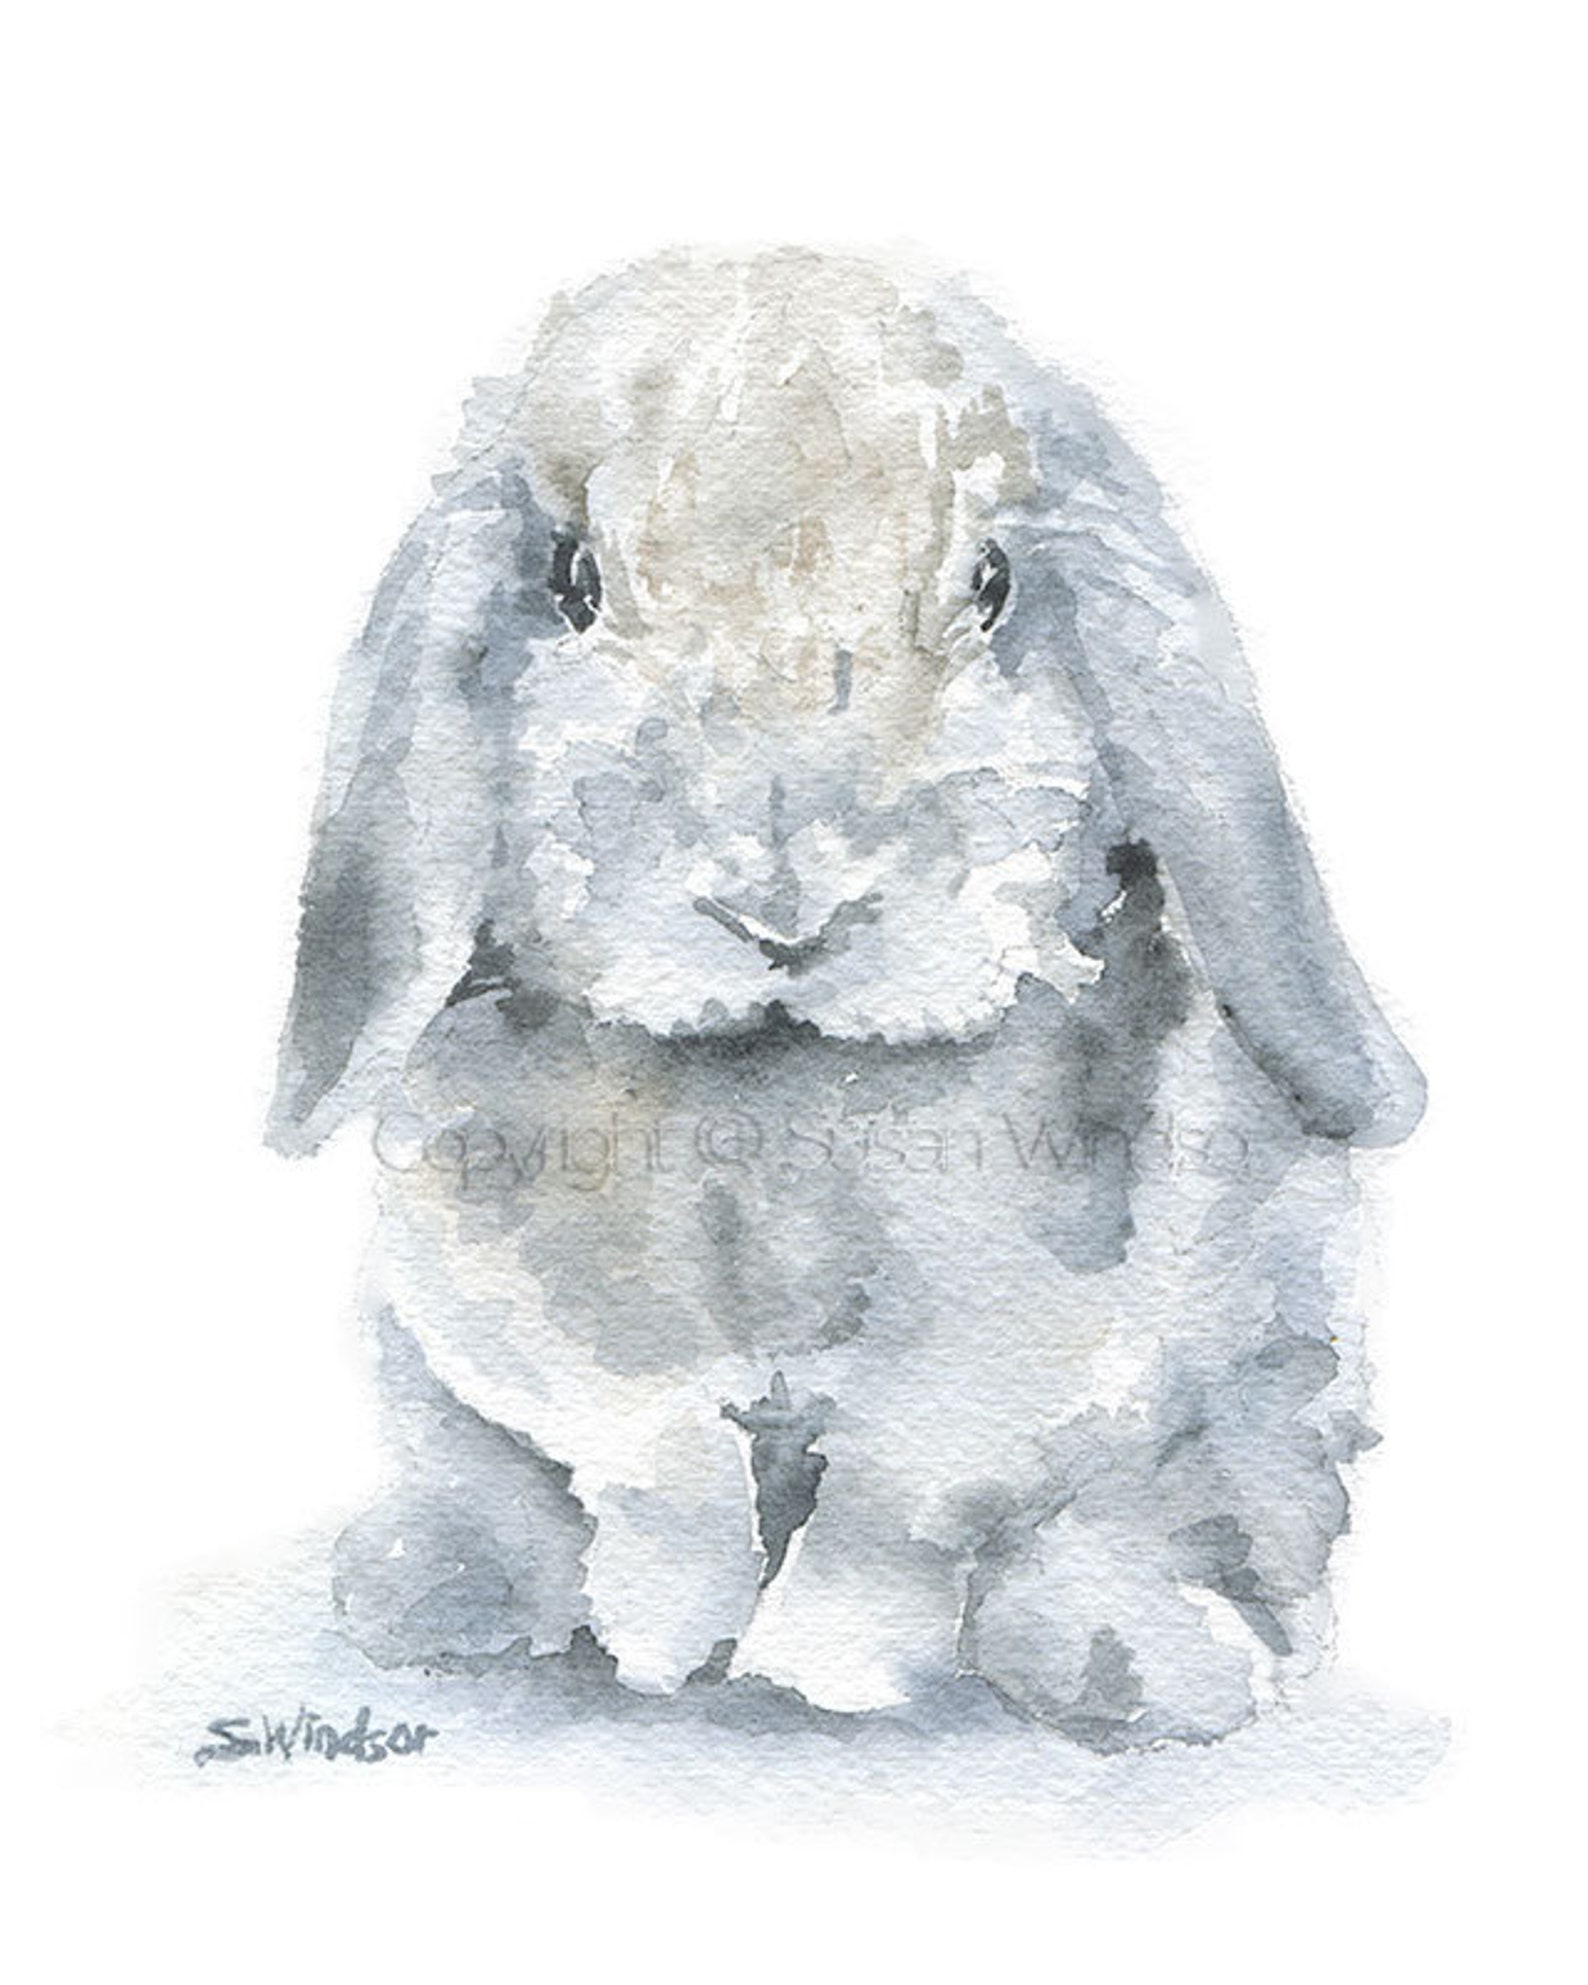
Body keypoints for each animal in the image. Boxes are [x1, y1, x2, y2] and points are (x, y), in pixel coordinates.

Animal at [268, 247, 1423, 1750]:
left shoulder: (1041, 1350)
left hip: (1281, 1352)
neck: (776, 1088)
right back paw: (440, 1589)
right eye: (574, 582)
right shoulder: (505, 1288)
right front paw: (666, 1638)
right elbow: (655, 1459)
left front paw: (815, 1668)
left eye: (990, 583)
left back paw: (1143, 1664)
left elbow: (895, 1500)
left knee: (1199, 1511)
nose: (781, 901)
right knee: (475, 1473)